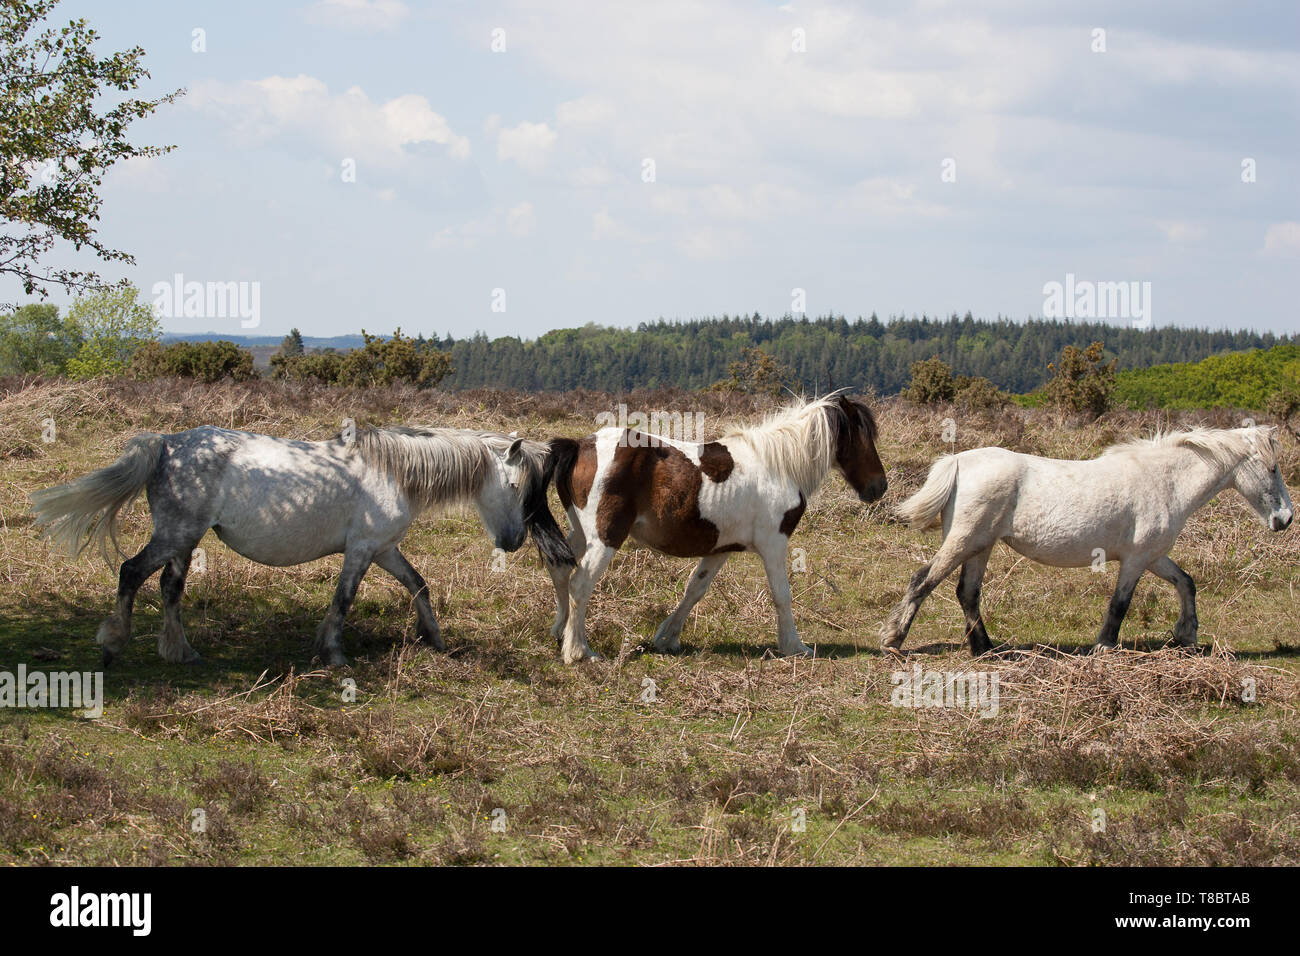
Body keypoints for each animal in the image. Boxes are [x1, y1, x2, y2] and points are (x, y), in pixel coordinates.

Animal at [30, 424, 574, 667]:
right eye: (514, 486)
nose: (515, 542)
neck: (393, 472)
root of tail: (165, 444)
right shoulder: (362, 551)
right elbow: (344, 600)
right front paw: (333, 654)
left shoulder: (383, 549)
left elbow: (418, 584)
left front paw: (433, 638)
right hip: (175, 536)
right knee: (130, 572)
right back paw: (115, 641)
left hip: (185, 542)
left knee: (169, 589)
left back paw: (180, 650)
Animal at [543, 392, 887, 663]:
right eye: (863, 437)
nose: (879, 487)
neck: (779, 465)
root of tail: (581, 445)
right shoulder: (774, 543)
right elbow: (781, 594)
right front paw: (795, 646)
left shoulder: (721, 549)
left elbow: (695, 590)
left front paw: (667, 638)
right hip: (606, 537)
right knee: (580, 584)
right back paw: (579, 651)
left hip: (580, 533)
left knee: (560, 570)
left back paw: (560, 633)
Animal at [880, 425, 1293, 656]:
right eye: (1272, 468)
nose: (1285, 519)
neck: (1165, 482)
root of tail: (958, 462)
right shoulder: (1136, 559)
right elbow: (1120, 604)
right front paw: (1104, 646)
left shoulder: (1153, 556)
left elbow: (1186, 583)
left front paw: (1187, 635)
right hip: (964, 542)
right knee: (923, 580)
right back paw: (893, 639)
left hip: (981, 546)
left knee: (967, 593)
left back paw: (985, 649)